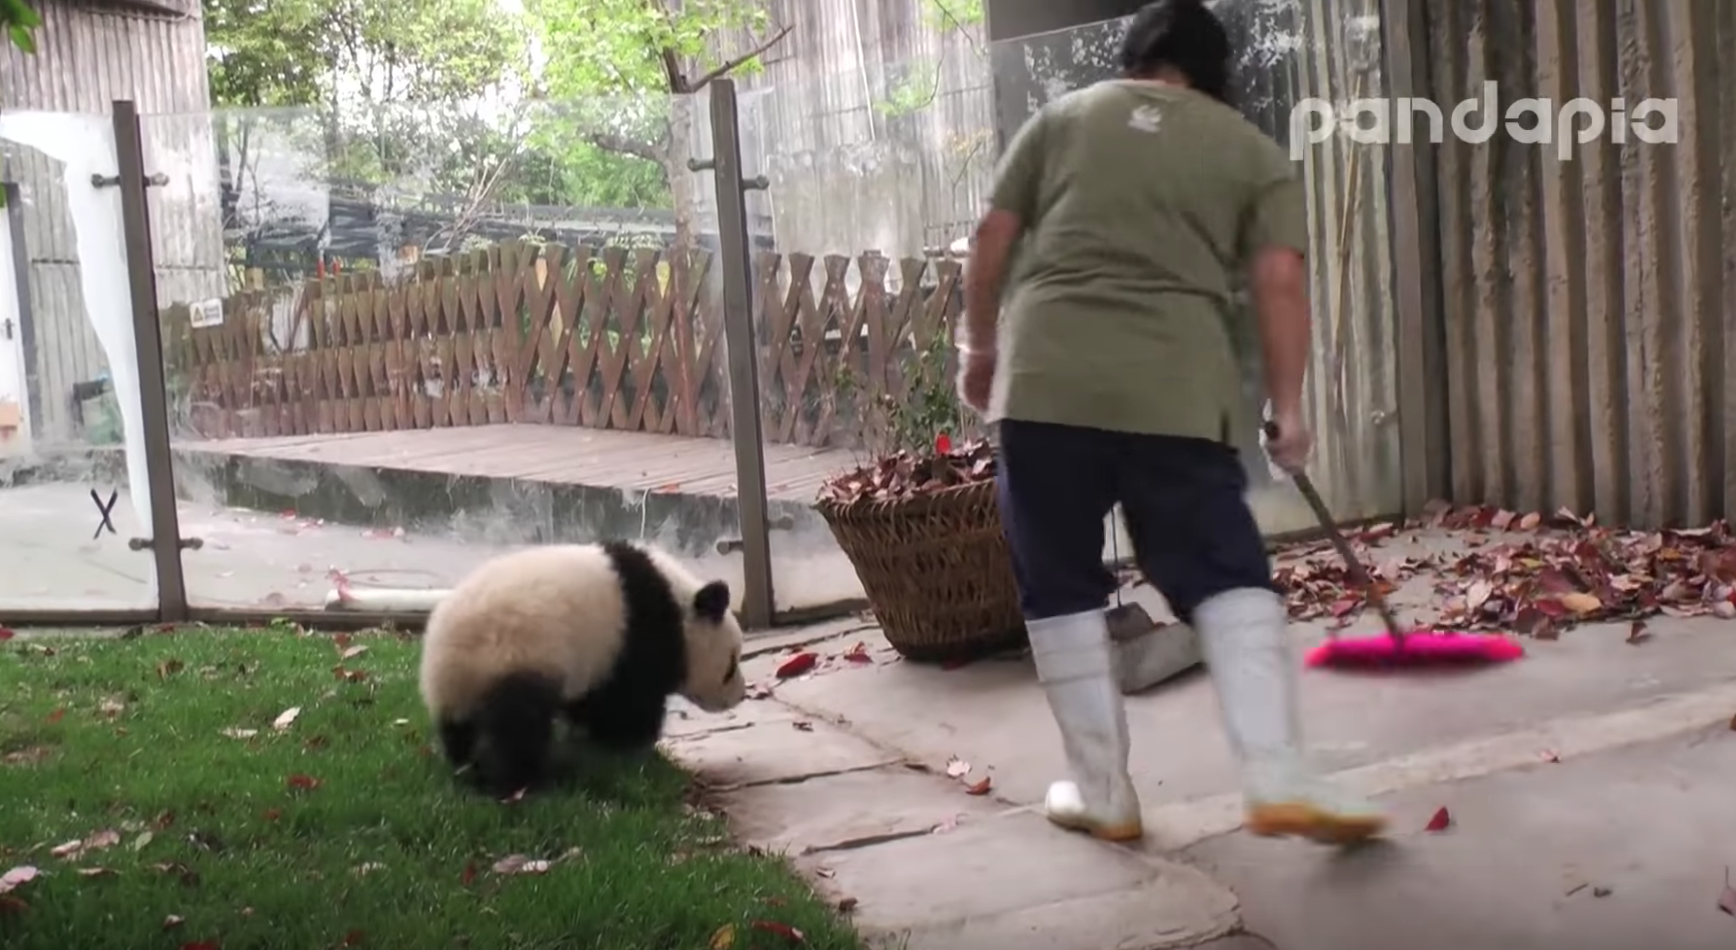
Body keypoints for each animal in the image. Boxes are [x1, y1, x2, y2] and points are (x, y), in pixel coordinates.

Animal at [417, 539, 748, 795]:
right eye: (731, 664)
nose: (740, 695)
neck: (678, 606)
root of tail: (447, 654)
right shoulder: (637, 637)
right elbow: (629, 702)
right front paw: (631, 745)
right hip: (515, 655)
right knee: (517, 728)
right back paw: (525, 780)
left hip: (466, 686)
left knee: (460, 730)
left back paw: (468, 767)